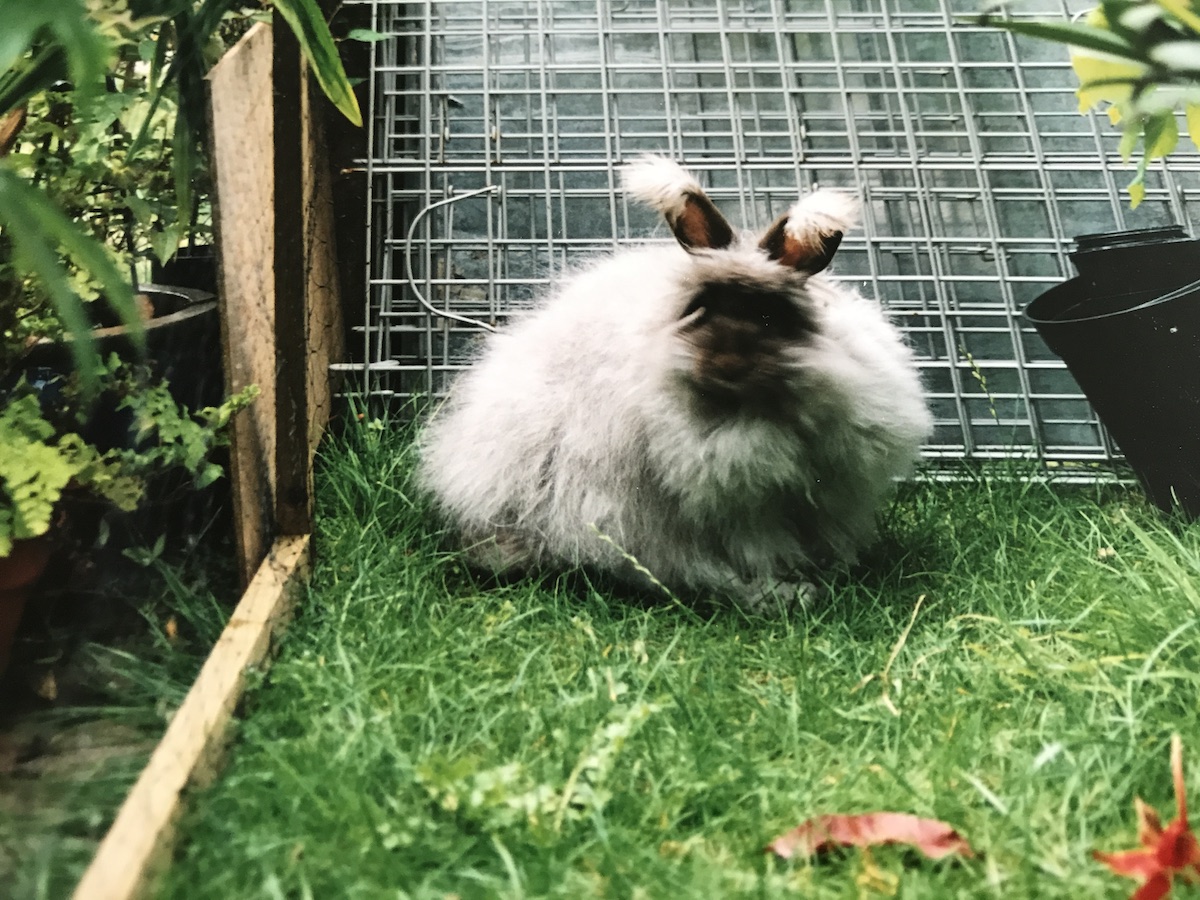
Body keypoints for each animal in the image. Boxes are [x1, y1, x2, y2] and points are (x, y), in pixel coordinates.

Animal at [416, 156, 932, 614]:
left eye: (771, 315)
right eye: (700, 308)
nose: (727, 362)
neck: (751, 412)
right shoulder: (735, 513)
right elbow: (750, 556)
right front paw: (778, 595)